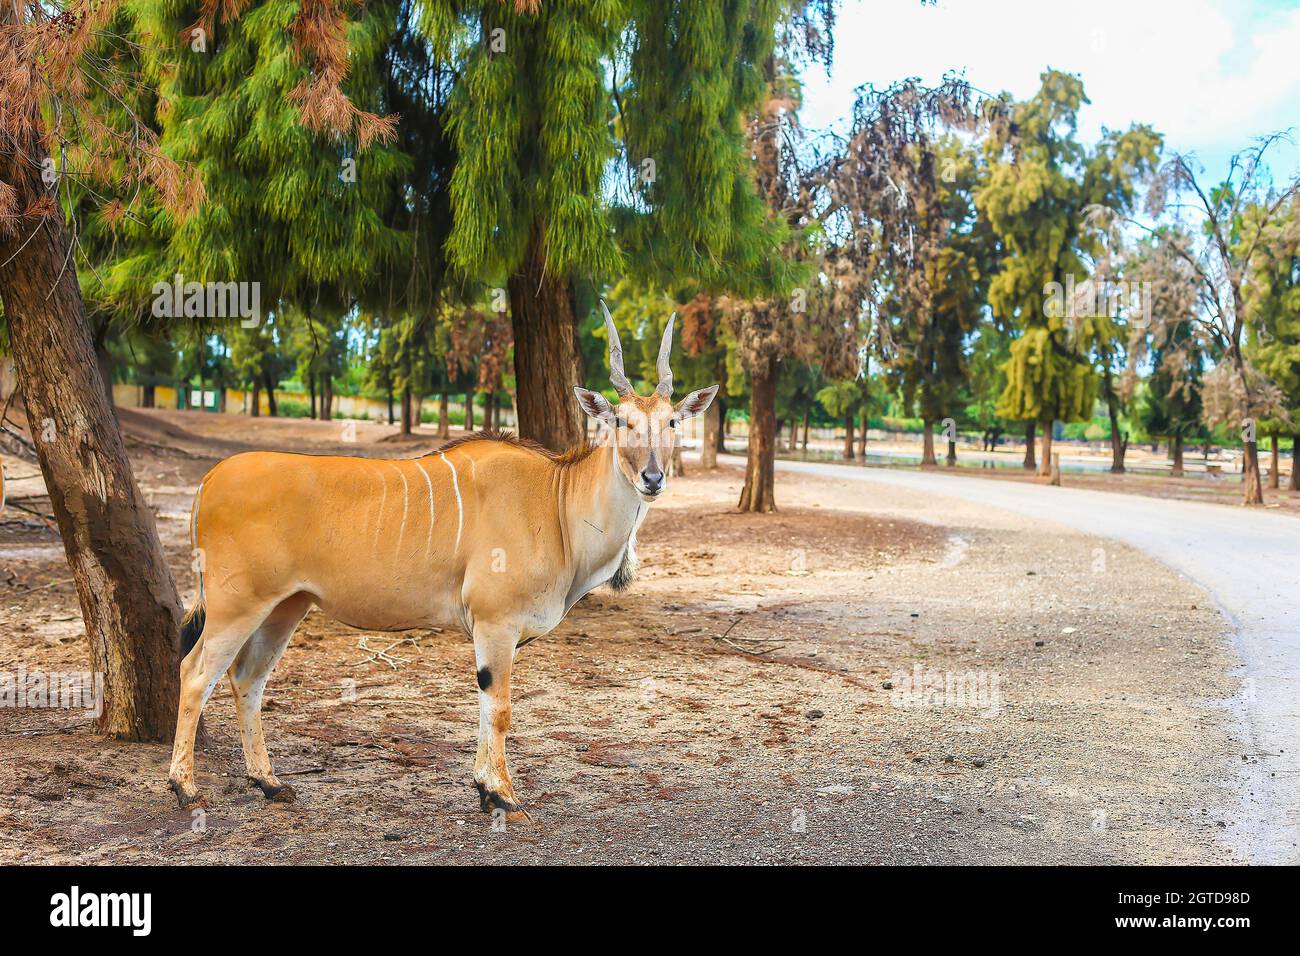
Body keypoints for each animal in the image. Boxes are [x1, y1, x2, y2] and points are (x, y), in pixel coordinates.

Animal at [167, 304, 717, 821]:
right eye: (621, 422)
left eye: (672, 421)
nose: (652, 478)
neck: (554, 501)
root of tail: (211, 478)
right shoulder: (496, 623)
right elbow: (500, 708)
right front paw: (504, 797)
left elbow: (485, 705)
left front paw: (484, 789)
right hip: (237, 604)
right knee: (195, 673)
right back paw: (185, 790)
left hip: (286, 606)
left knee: (247, 679)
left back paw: (269, 783)